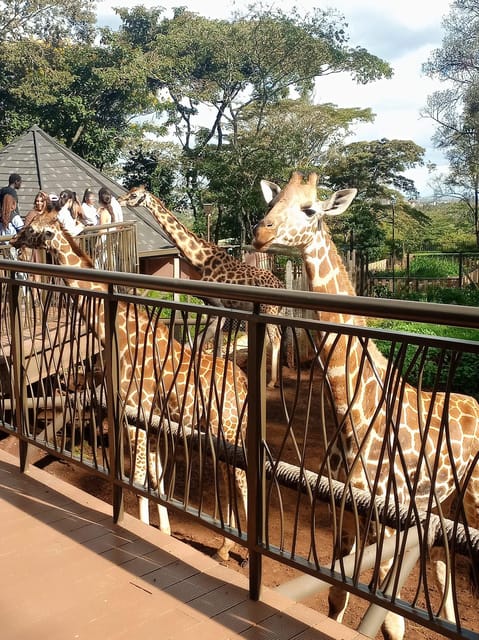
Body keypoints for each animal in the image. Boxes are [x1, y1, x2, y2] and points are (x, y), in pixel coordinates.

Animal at [11, 210, 249, 562]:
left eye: (33, 228)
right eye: (26, 221)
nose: (13, 240)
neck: (121, 336)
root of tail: (244, 381)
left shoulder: (135, 410)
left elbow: (137, 476)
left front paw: (142, 529)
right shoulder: (150, 418)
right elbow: (155, 474)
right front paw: (164, 531)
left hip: (229, 427)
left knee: (243, 479)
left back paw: (236, 549)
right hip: (223, 431)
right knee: (231, 475)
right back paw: (224, 547)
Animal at [118, 186, 283, 388]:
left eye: (133, 195)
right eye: (130, 191)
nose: (120, 200)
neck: (201, 260)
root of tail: (281, 284)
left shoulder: (218, 305)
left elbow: (202, 340)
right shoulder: (211, 305)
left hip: (269, 310)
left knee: (276, 338)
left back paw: (272, 382)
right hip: (272, 312)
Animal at [253, 171, 479, 639]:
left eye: (310, 209)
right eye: (272, 202)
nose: (261, 232)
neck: (352, 413)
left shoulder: (389, 521)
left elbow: (391, 620)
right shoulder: (346, 508)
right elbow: (336, 596)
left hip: (473, 498)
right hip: (443, 503)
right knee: (444, 561)